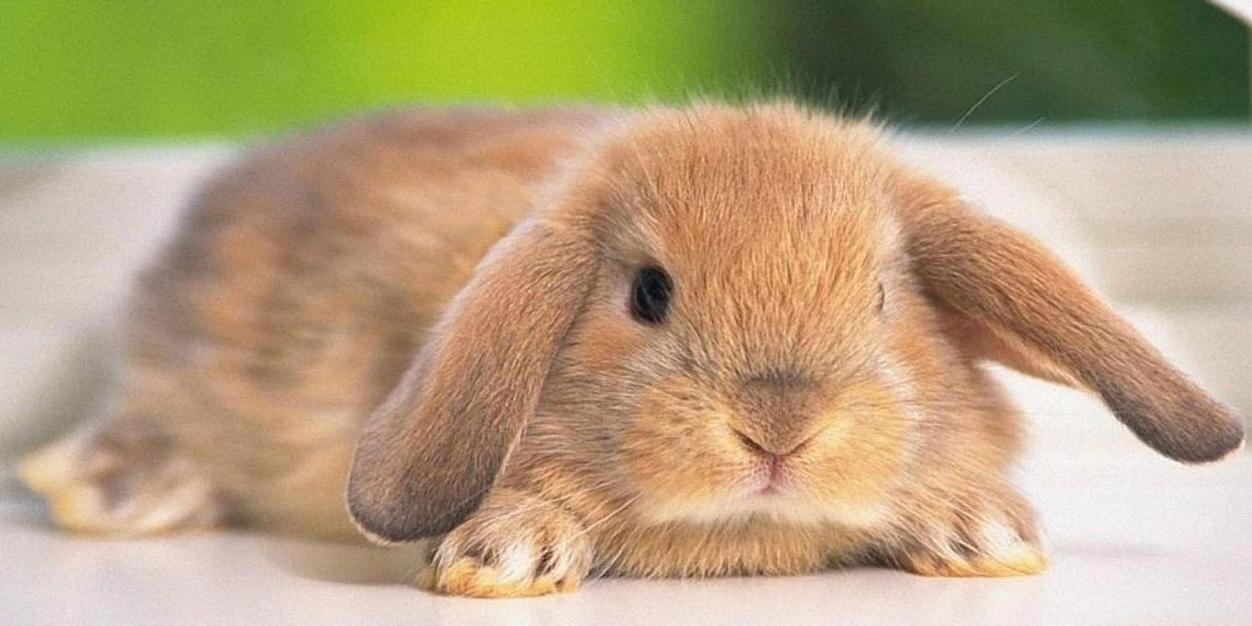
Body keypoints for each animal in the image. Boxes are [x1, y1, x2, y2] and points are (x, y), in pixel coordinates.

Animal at [18, 102, 1244, 598]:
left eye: (885, 295)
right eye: (647, 293)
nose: (778, 426)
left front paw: (978, 527)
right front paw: (508, 553)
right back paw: (117, 483)